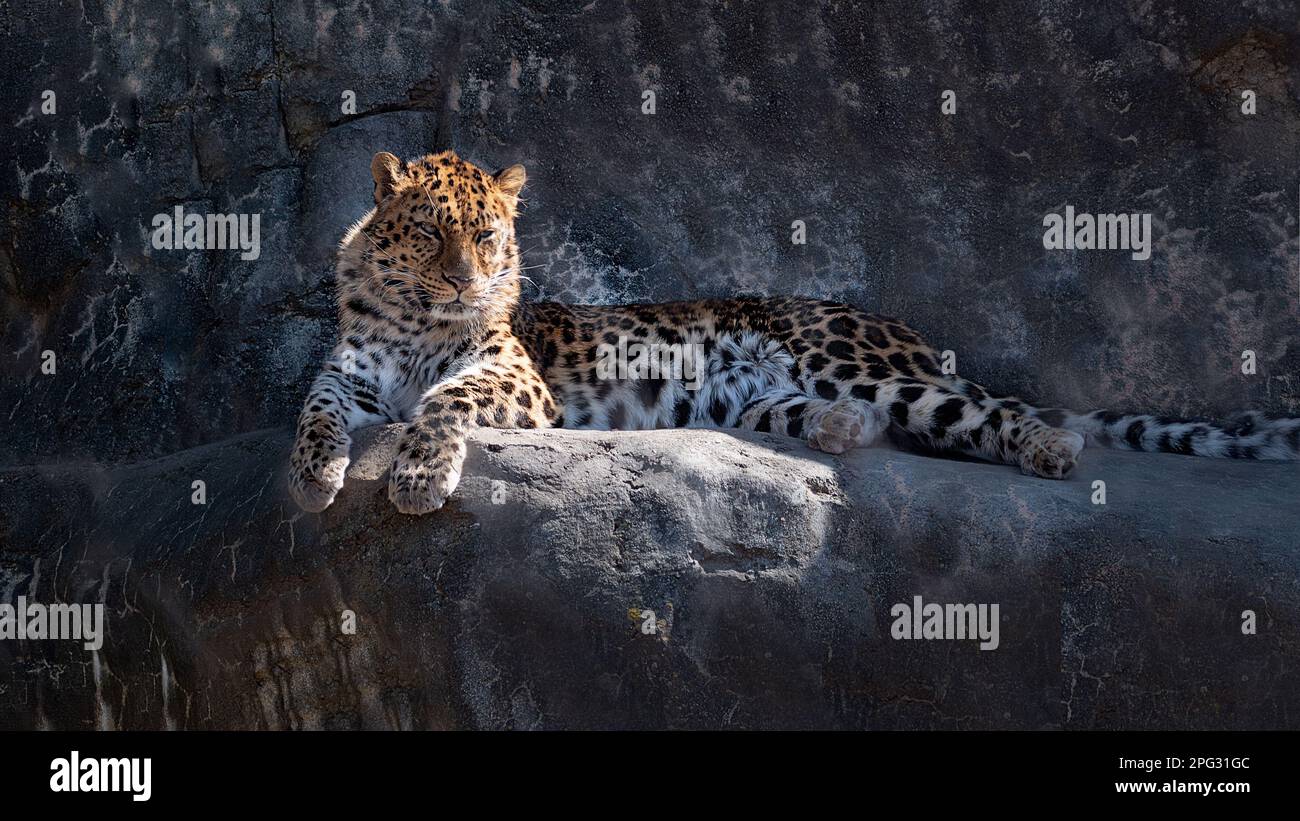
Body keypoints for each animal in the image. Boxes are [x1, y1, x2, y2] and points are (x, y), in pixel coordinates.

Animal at [288, 149, 1300, 515]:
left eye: (490, 234)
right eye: (431, 232)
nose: (471, 279)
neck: (416, 317)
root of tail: (895, 327)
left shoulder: (513, 379)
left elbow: (441, 402)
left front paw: (417, 477)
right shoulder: (350, 374)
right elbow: (315, 406)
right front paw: (313, 477)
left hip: (843, 354)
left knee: (982, 411)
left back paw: (1051, 448)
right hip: (772, 394)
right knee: (902, 423)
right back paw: (837, 433)